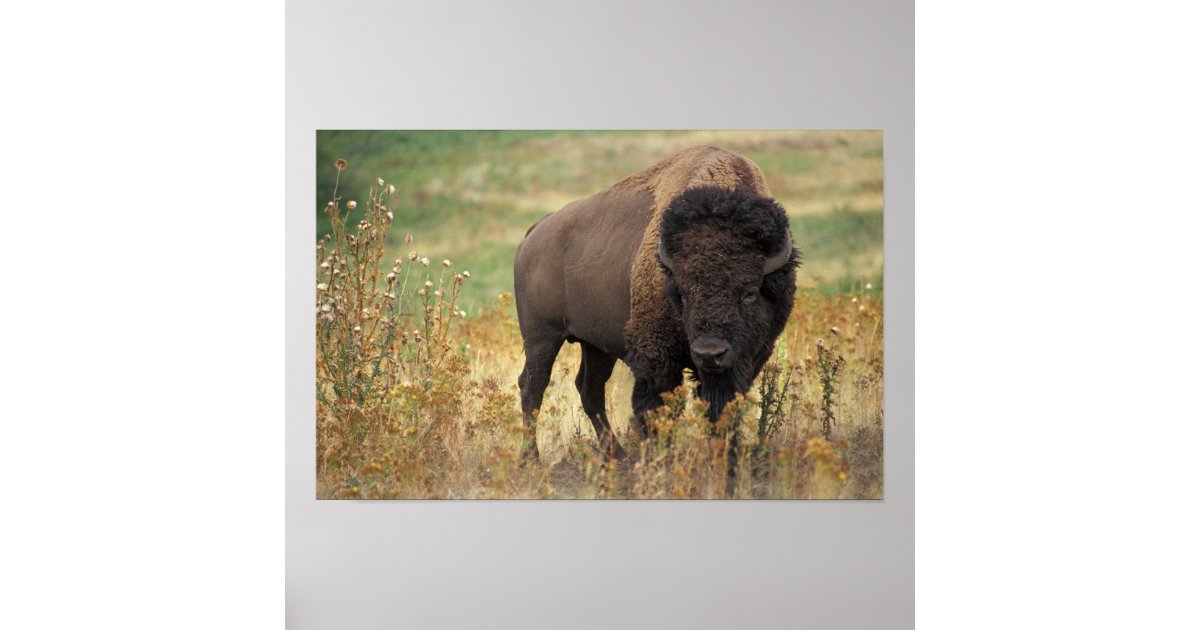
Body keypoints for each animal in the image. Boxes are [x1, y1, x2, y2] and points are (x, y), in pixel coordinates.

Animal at [513, 145, 798, 460]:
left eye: (749, 292)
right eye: (682, 293)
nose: (710, 353)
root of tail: (535, 232)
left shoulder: (748, 358)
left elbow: (722, 408)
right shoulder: (657, 358)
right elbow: (656, 410)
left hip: (595, 344)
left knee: (589, 389)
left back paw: (618, 456)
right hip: (541, 336)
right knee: (533, 386)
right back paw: (531, 459)